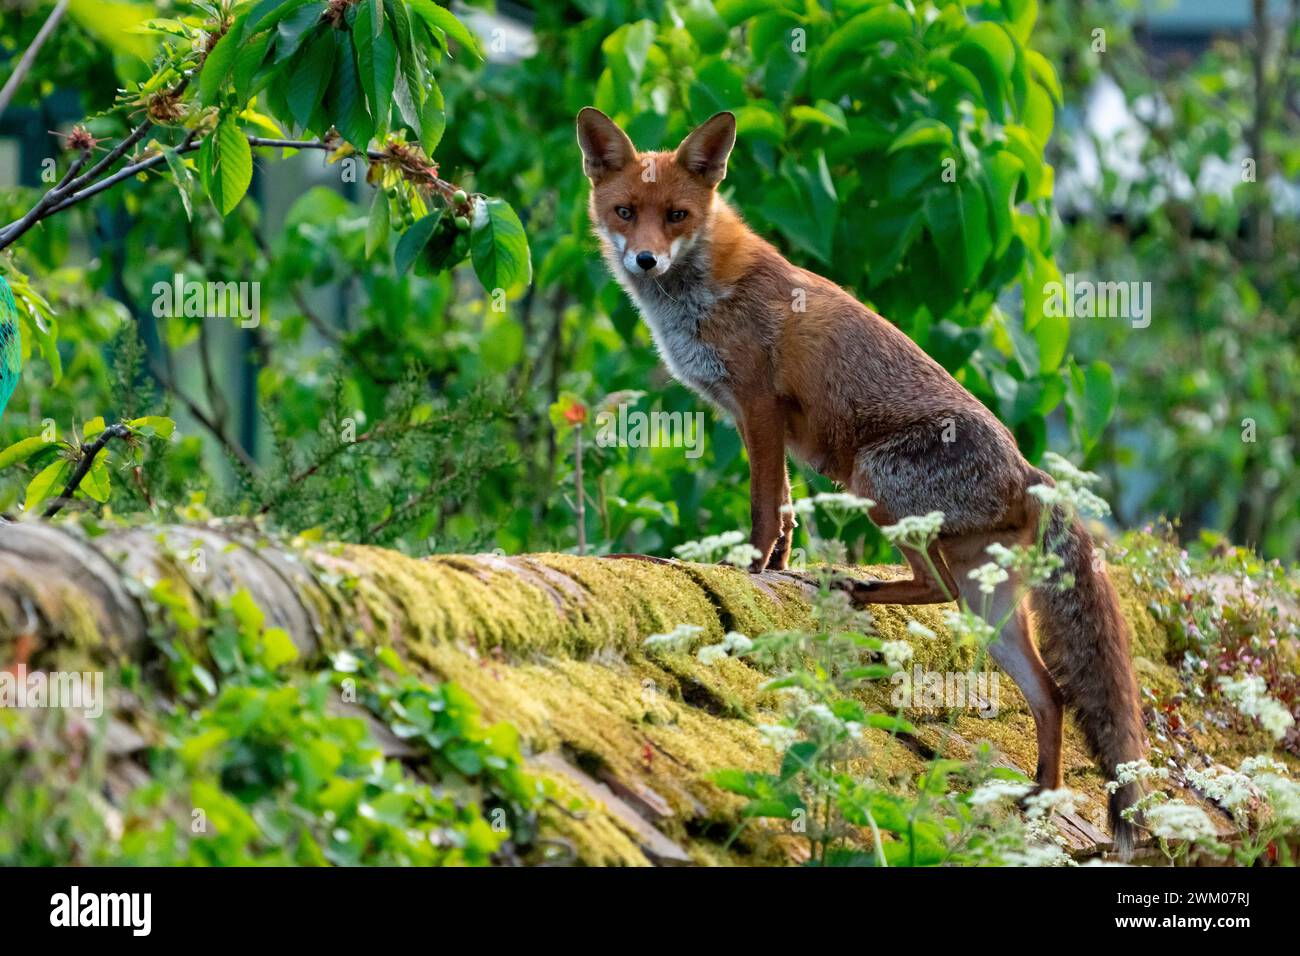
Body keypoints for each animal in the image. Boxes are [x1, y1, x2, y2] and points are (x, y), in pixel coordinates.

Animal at [577, 107, 1147, 855]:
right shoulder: (752, 420)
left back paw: (858, 588)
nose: (644, 259)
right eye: (625, 212)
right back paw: (1037, 802)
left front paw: (752, 571)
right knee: (1050, 694)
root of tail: (1029, 471)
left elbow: (764, 508)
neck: (697, 293)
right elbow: (786, 509)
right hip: (987, 604)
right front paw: (778, 568)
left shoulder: (759, 404)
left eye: (676, 215)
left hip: (875, 480)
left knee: (936, 590)